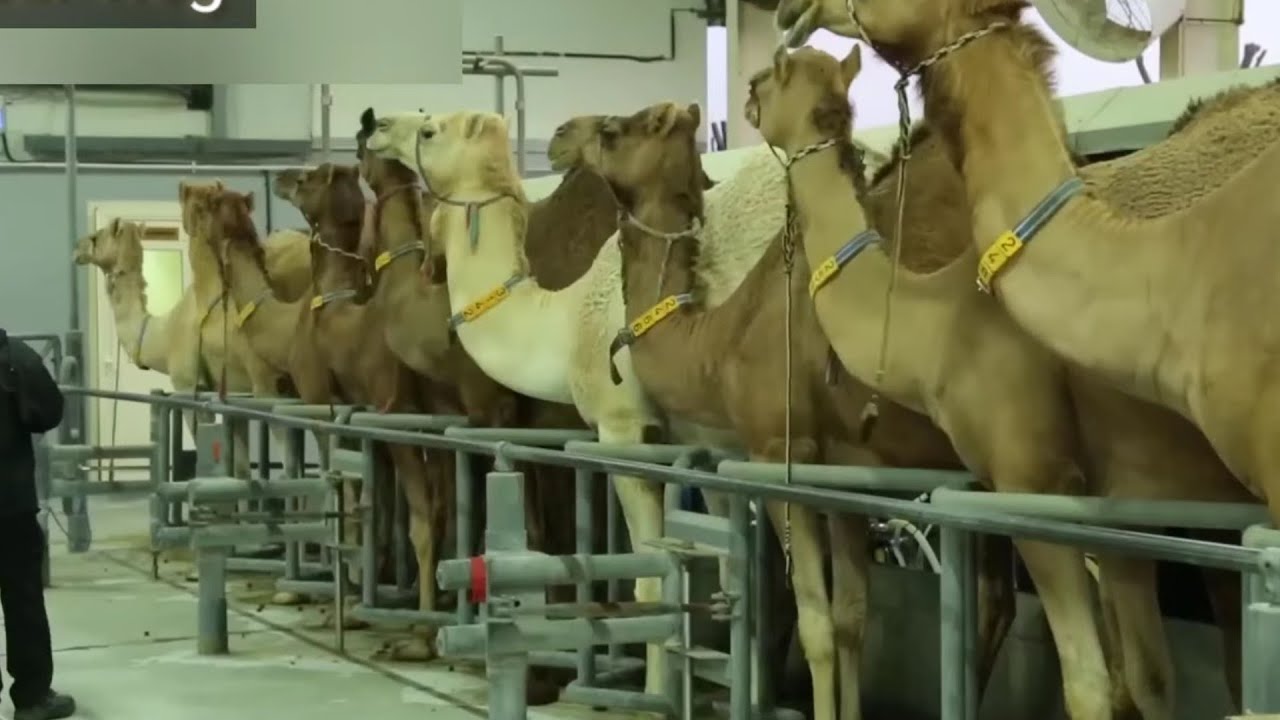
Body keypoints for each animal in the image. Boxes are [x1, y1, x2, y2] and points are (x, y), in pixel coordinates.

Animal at [189, 173, 448, 661]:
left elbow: (341, 500)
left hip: (403, 419)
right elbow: (372, 509)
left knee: (426, 513)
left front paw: (343, 606)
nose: (280, 177)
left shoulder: (320, 404)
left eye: (205, 204)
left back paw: (421, 638)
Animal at [747, 44, 1254, 719]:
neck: (936, 324)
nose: (746, 94)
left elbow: (1090, 683)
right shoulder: (1117, 509)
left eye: (772, 73)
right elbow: (1148, 679)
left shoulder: (1033, 483)